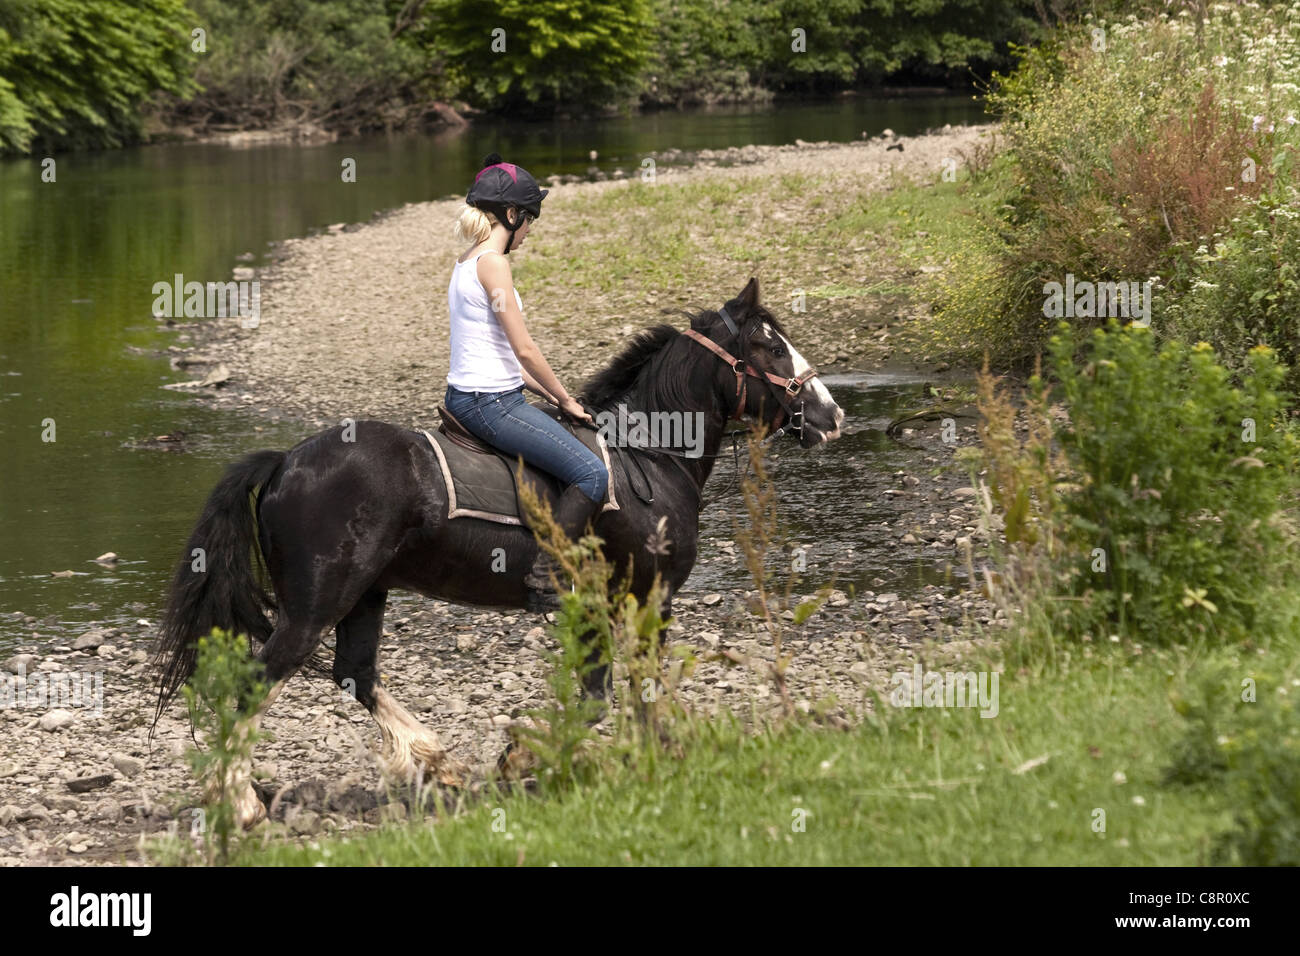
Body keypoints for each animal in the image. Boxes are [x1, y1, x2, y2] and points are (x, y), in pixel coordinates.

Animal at [152, 277, 844, 828]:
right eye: (769, 345)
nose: (831, 416)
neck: (648, 456)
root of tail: (287, 460)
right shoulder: (645, 599)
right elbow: (615, 695)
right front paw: (546, 755)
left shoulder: (605, 606)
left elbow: (606, 695)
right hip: (315, 604)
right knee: (258, 683)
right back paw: (240, 802)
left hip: (364, 593)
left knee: (356, 673)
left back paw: (437, 761)